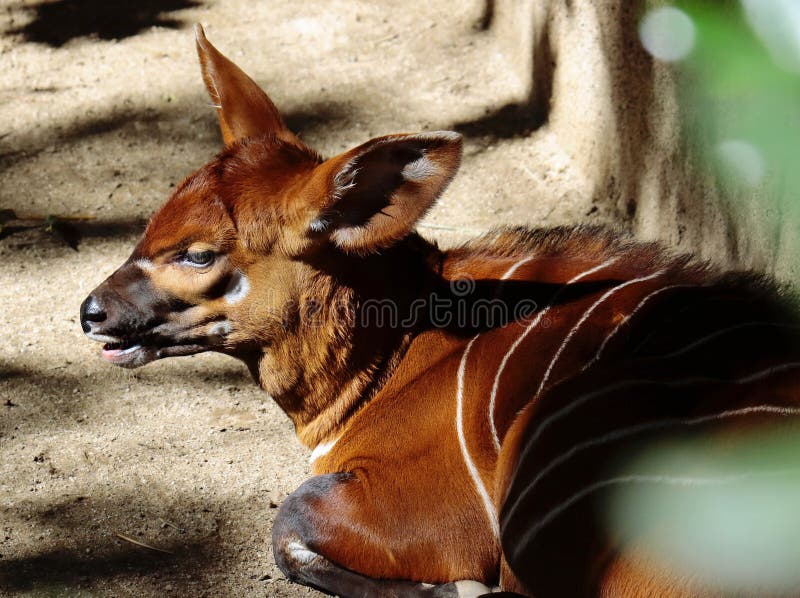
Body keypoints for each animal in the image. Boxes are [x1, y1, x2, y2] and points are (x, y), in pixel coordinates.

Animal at [80, 26, 800, 597]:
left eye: (198, 253)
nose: (91, 312)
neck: (395, 356)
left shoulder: (438, 514)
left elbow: (290, 519)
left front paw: (452, 589)